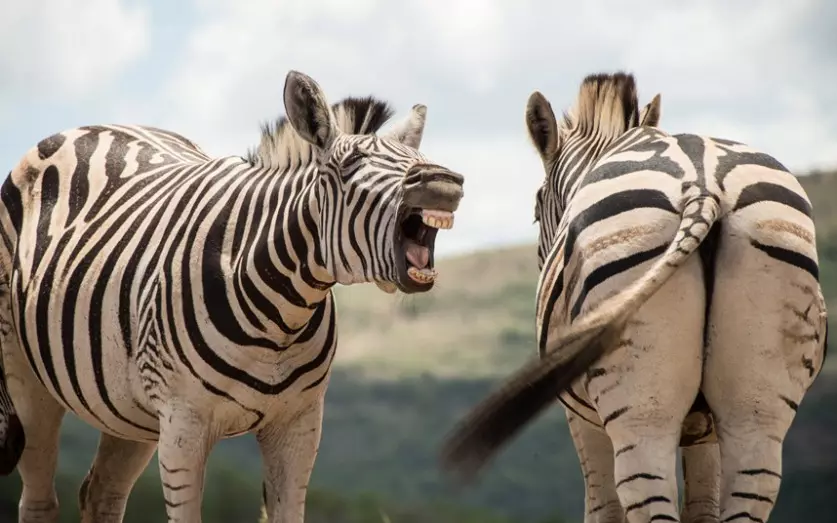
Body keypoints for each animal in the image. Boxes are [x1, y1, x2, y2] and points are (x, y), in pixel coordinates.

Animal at [0, 70, 464, 523]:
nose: (443, 180)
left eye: (419, 161)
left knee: (101, 494)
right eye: (350, 165)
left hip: (129, 409)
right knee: (39, 499)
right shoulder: (184, 424)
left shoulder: (299, 425)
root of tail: (92, 126)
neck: (281, 316)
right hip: (27, 380)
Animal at [440, 70, 828, 523]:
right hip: (757, 401)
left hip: (641, 412)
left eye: (536, 212)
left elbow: (603, 508)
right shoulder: (708, 432)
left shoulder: (583, 421)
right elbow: (702, 507)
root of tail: (704, 187)